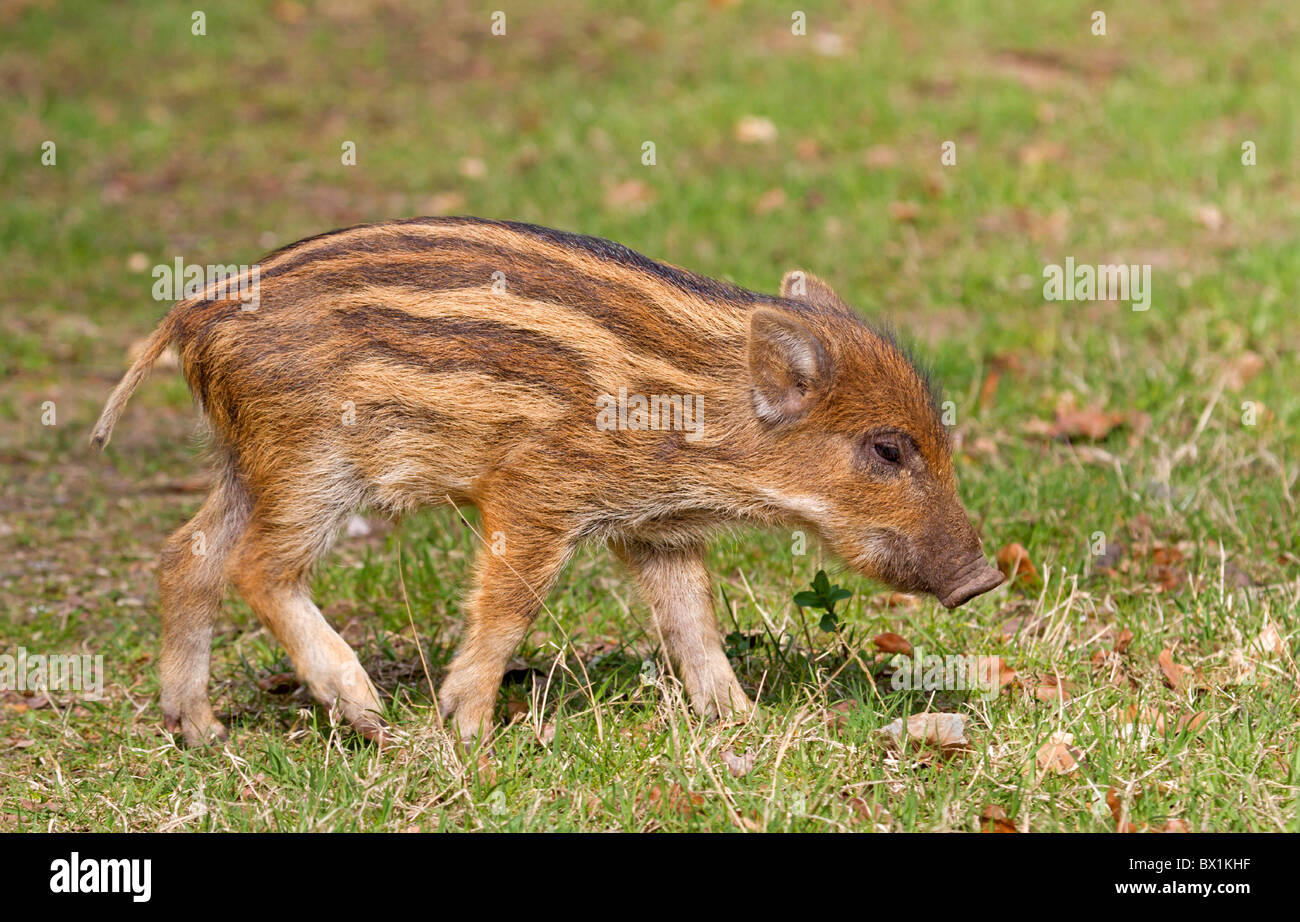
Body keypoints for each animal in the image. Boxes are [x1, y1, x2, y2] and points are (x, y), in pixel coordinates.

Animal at [91, 216, 1003, 746]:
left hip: (252, 462)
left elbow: (693, 624)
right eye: (887, 449)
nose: (986, 577)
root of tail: (190, 312)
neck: (694, 413)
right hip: (311, 461)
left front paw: (743, 721)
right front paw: (466, 731)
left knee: (185, 557)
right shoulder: (533, 494)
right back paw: (365, 712)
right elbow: (511, 607)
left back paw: (200, 731)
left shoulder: (656, 529)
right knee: (258, 569)